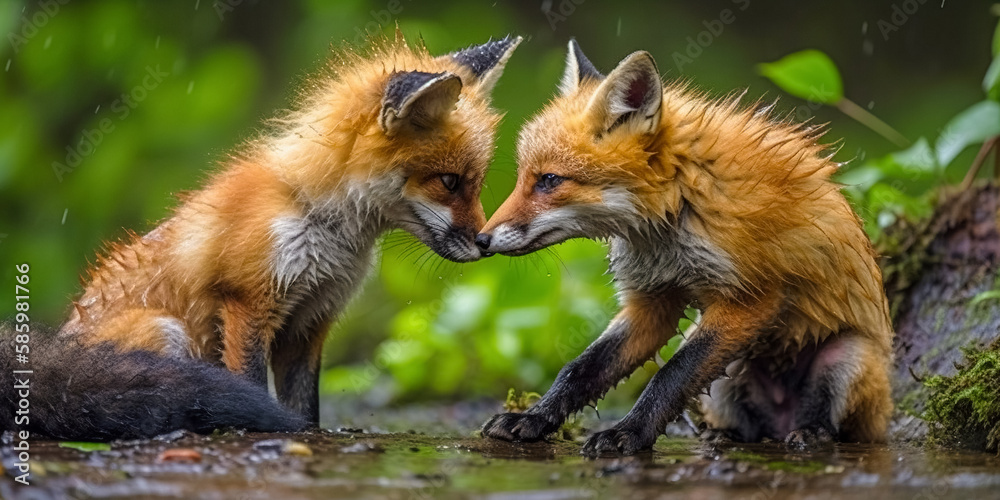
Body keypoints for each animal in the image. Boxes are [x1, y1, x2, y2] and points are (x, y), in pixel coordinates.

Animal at [3, 32, 521, 440]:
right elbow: (253, 386)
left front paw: (301, 434)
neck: (318, 217)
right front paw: (262, 428)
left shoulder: (310, 321)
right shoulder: (248, 303)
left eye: (476, 182)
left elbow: (305, 407)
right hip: (166, 333)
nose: (483, 244)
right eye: (449, 182)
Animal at [476, 40, 894, 455]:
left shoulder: (751, 299)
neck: (676, 205)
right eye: (523, 178)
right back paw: (724, 436)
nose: (481, 239)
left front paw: (630, 433)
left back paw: (812, 433)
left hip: (845, 357)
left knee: (834, 425)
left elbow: (672, 373)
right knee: (745, 424)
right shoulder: (652, 302)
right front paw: (535, 418)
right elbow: (579, 370)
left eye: (549, 180)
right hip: (728, 378)